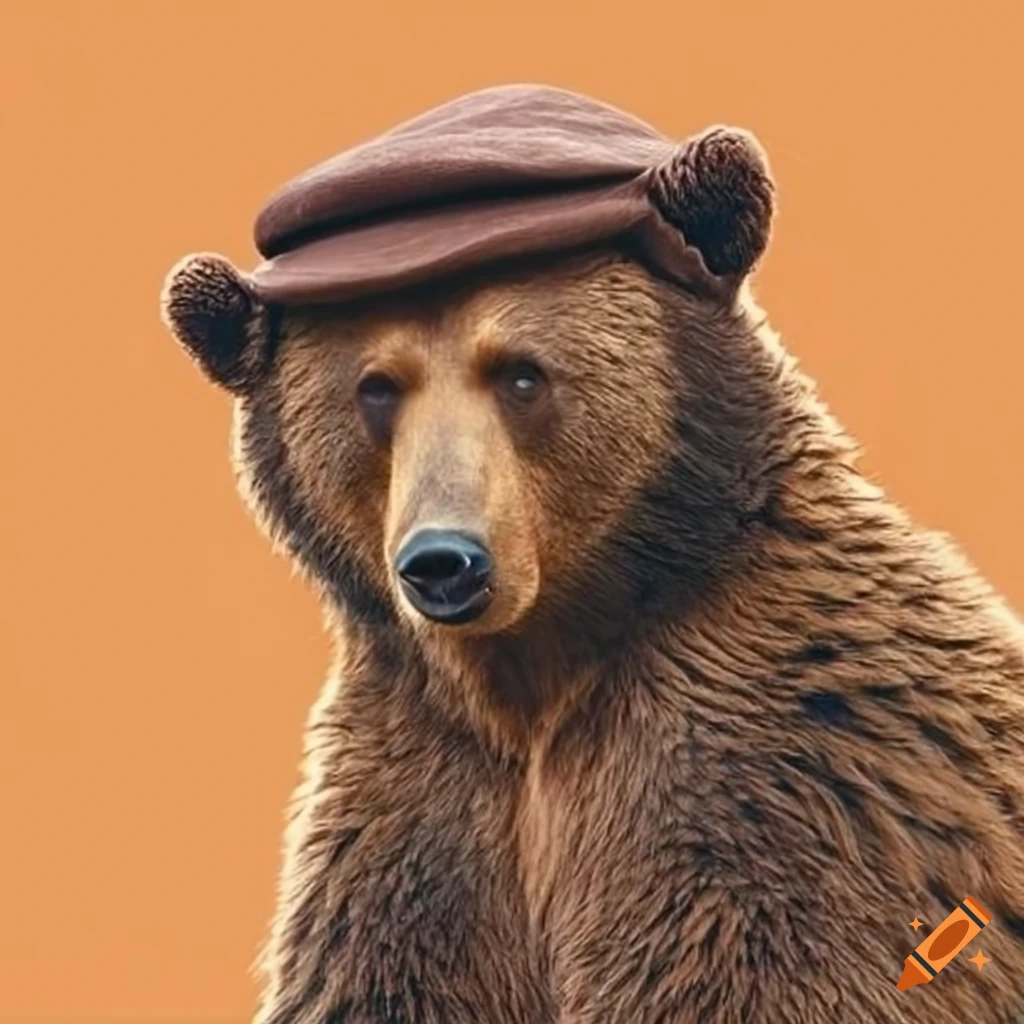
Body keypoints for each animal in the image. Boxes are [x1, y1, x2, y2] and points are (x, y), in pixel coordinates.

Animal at [161, 85, 1024, 1024]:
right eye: (376, 389)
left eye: (521, 373)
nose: (444, 562)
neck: (540, 681)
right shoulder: (415, 813)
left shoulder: (790, 793)